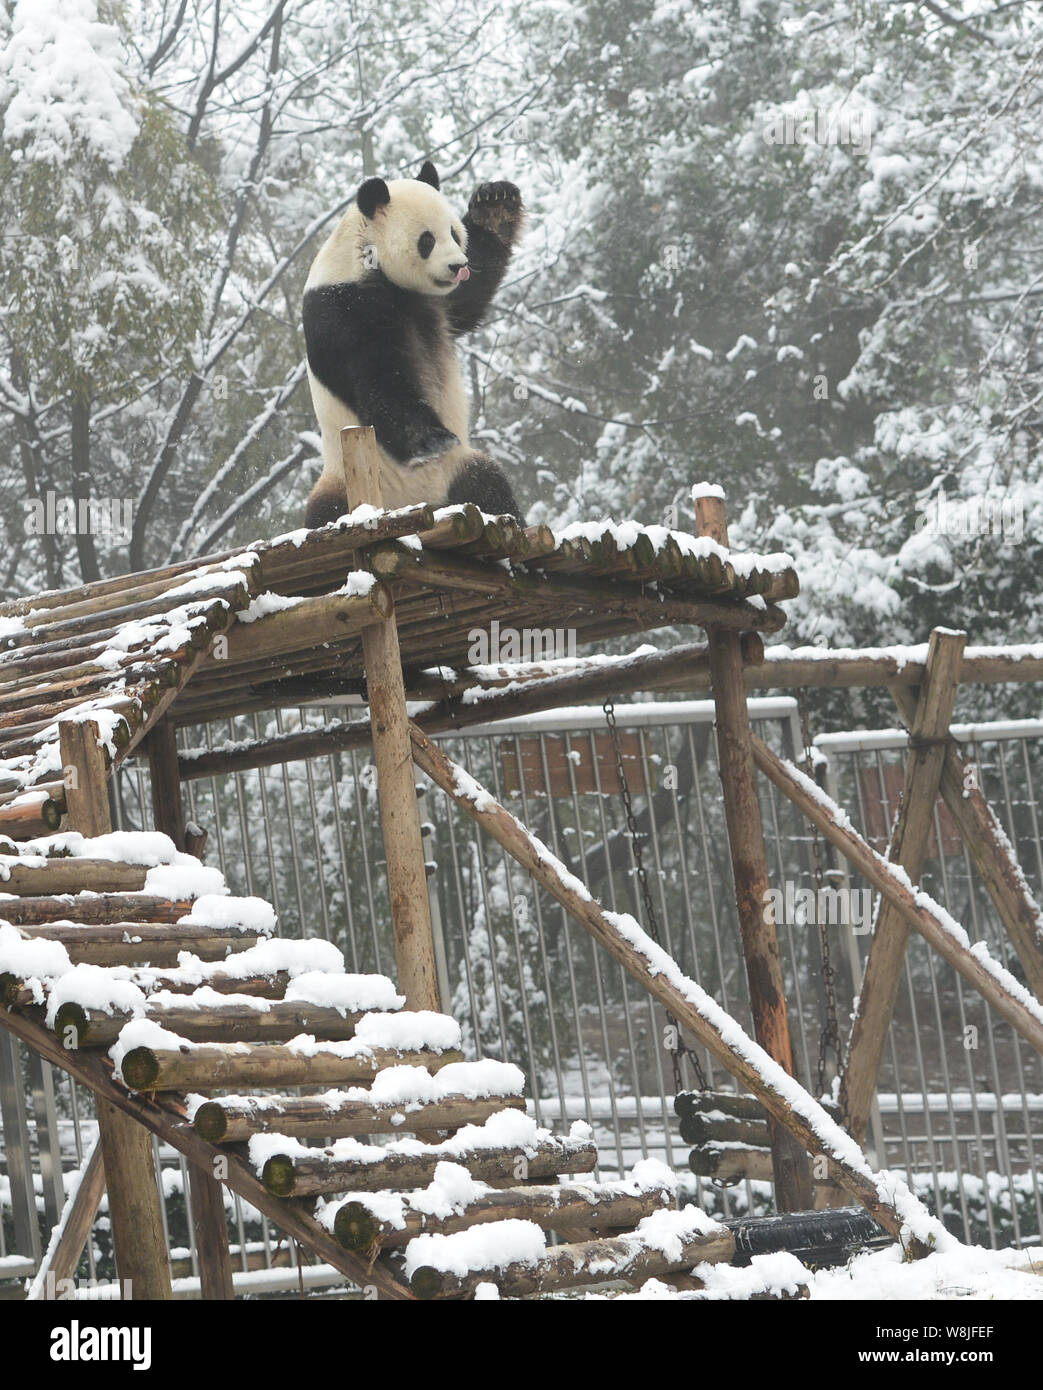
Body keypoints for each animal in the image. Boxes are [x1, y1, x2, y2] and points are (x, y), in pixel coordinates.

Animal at [302, 160, 524, 527]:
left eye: (454, 233)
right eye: (427, 240)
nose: (457, 266)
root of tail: (423, 502)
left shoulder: (439, 302)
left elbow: (471, 295)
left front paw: (495, 203)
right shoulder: (340, 308)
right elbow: (378, 380)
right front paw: (434, 441)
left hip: (461, 471)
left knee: (491, 487)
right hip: (340, 484)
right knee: (324, 513)